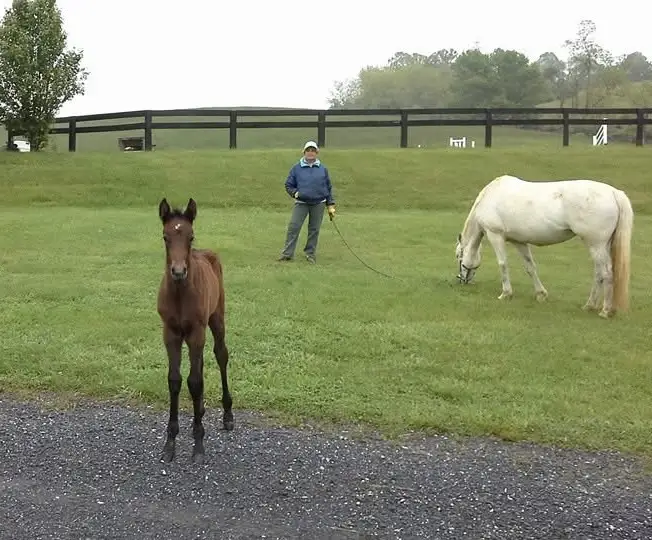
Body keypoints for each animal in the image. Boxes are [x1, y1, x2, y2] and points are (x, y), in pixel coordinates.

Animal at [156, 197, 234, 464]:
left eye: (190, 236)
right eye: (165, 236)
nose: (179, 271)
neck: (181, 294)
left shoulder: (196, 331)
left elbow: (195, 382)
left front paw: (198, 444)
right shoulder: (171, 333)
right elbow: (175, 380)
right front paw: (170, 443)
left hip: (216, 319)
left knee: (221, 355)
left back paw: (228, 415)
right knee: (198, 365)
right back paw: (199, 410)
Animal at [455, 175, 634, 319]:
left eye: (458, 257)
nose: (462, 280)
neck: (490, 196)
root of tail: (613, 193)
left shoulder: (495, 235)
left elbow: (503, 264)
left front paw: (506, 294)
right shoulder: (519, 242)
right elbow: (530, 267)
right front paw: (541, 294)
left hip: (596, 245)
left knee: (606, 273)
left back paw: (605, 311)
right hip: (600, 246)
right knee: (598, 274)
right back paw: (589, 305)